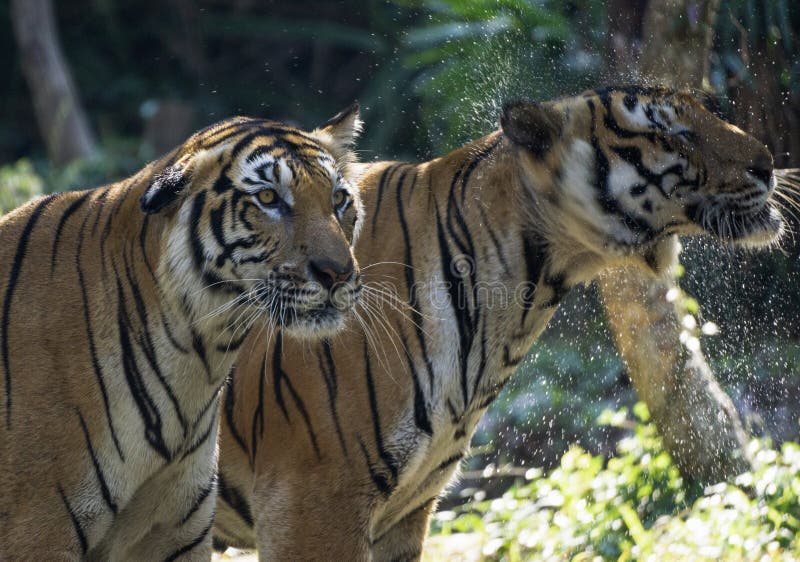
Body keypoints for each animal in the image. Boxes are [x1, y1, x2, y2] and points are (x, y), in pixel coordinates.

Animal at [0, 103, 364, 560]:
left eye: (338, 199)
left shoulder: (173, 528)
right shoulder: (37, 528)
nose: (338, 273)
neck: (199, 357)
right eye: (268, 198)